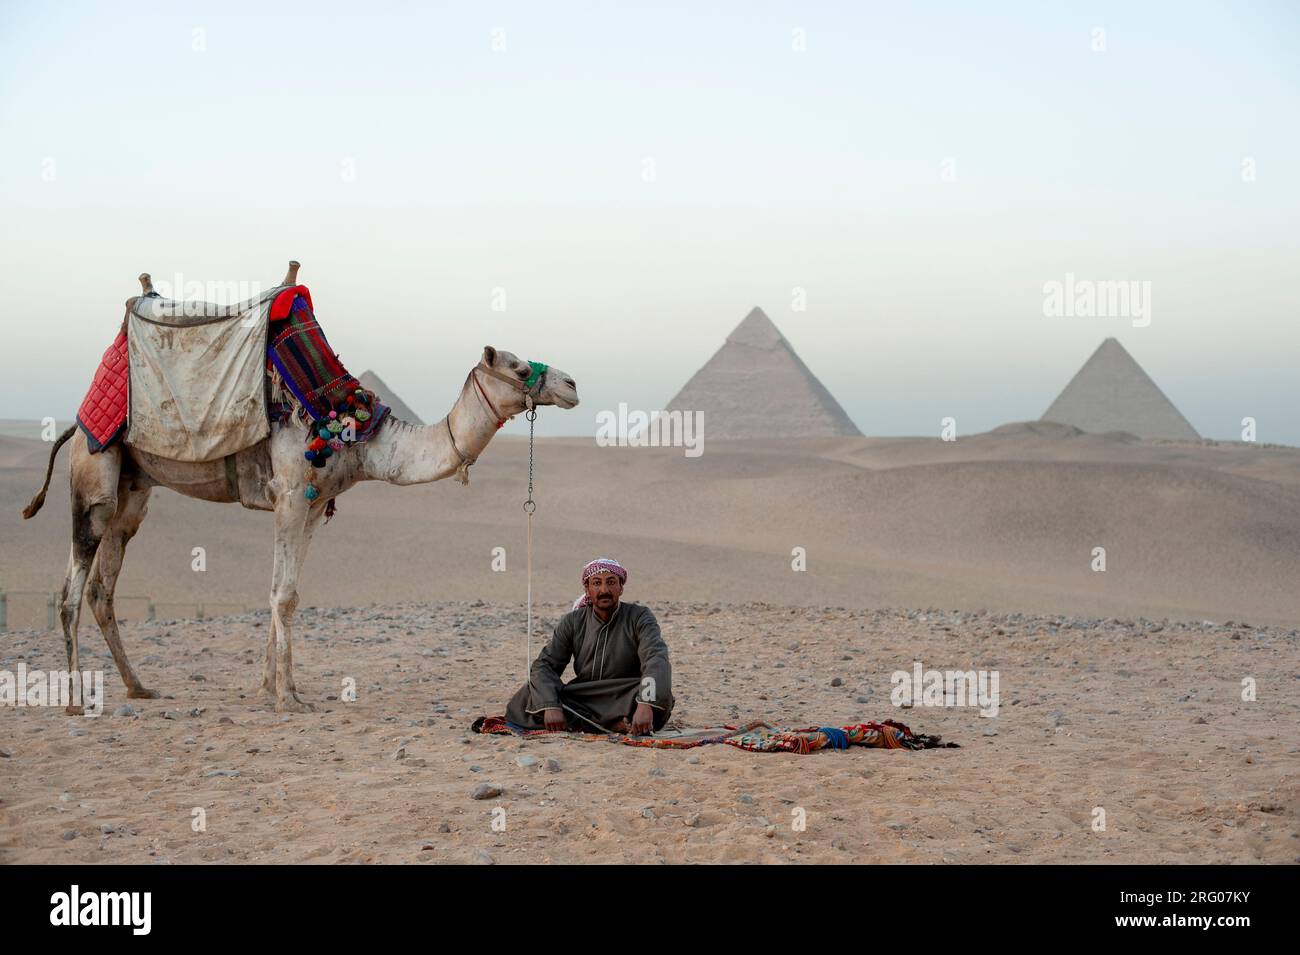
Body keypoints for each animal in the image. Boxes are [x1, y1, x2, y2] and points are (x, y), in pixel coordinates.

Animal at [22, 263, 579, 713]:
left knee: (104, 587)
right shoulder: (290, 493)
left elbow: (283, 590)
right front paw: (288, 698)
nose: (572, 385)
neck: (357, 434)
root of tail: (75, 426)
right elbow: (284, 595)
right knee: (71, 590)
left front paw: (268, 688)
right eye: (518, 367)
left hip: (134, 490)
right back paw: (75, 700)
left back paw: (139, 687)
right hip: (94, 475)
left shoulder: (313, 504)